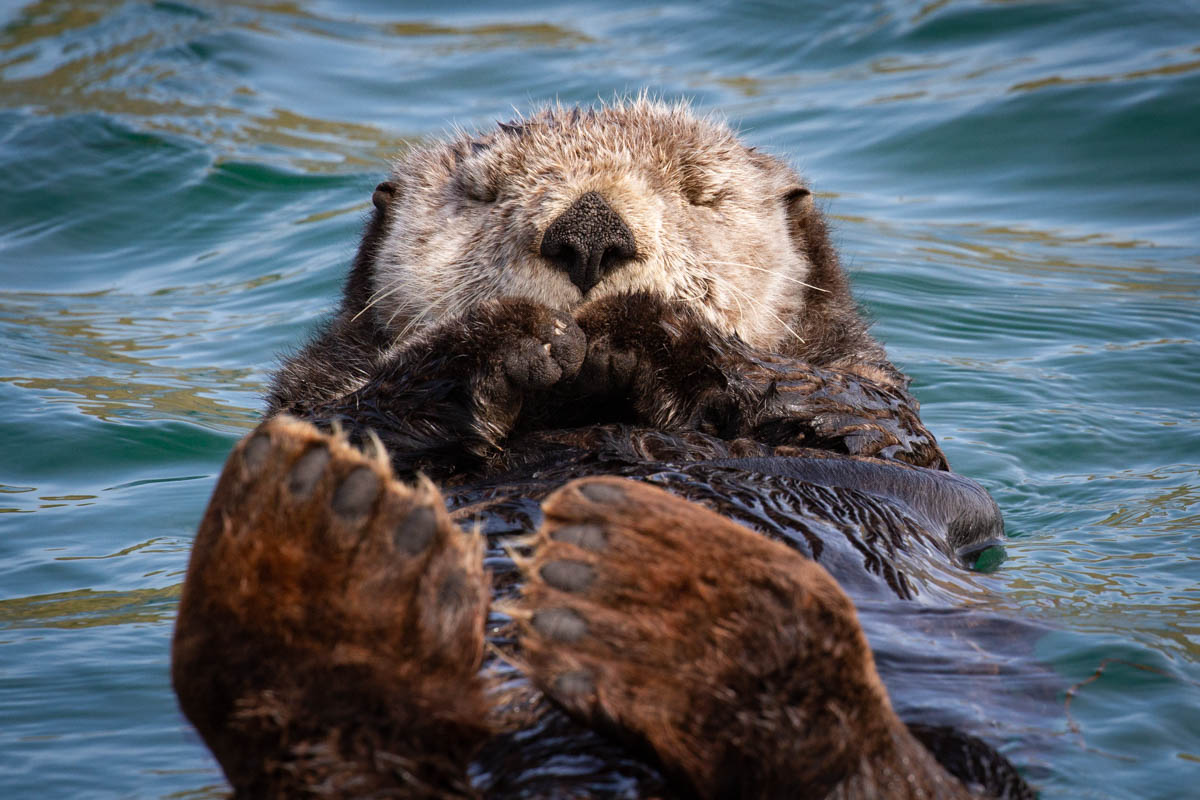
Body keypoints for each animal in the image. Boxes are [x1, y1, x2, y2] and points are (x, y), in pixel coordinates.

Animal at [172, 100, 1033, 799]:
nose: (589, 233)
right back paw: (327, 552)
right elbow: (337, 413)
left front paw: (643, 328)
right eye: (485, 193)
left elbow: (838, 410)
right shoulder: (318, 383)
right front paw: (505, 339)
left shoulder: (872, 395)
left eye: (698, 191)